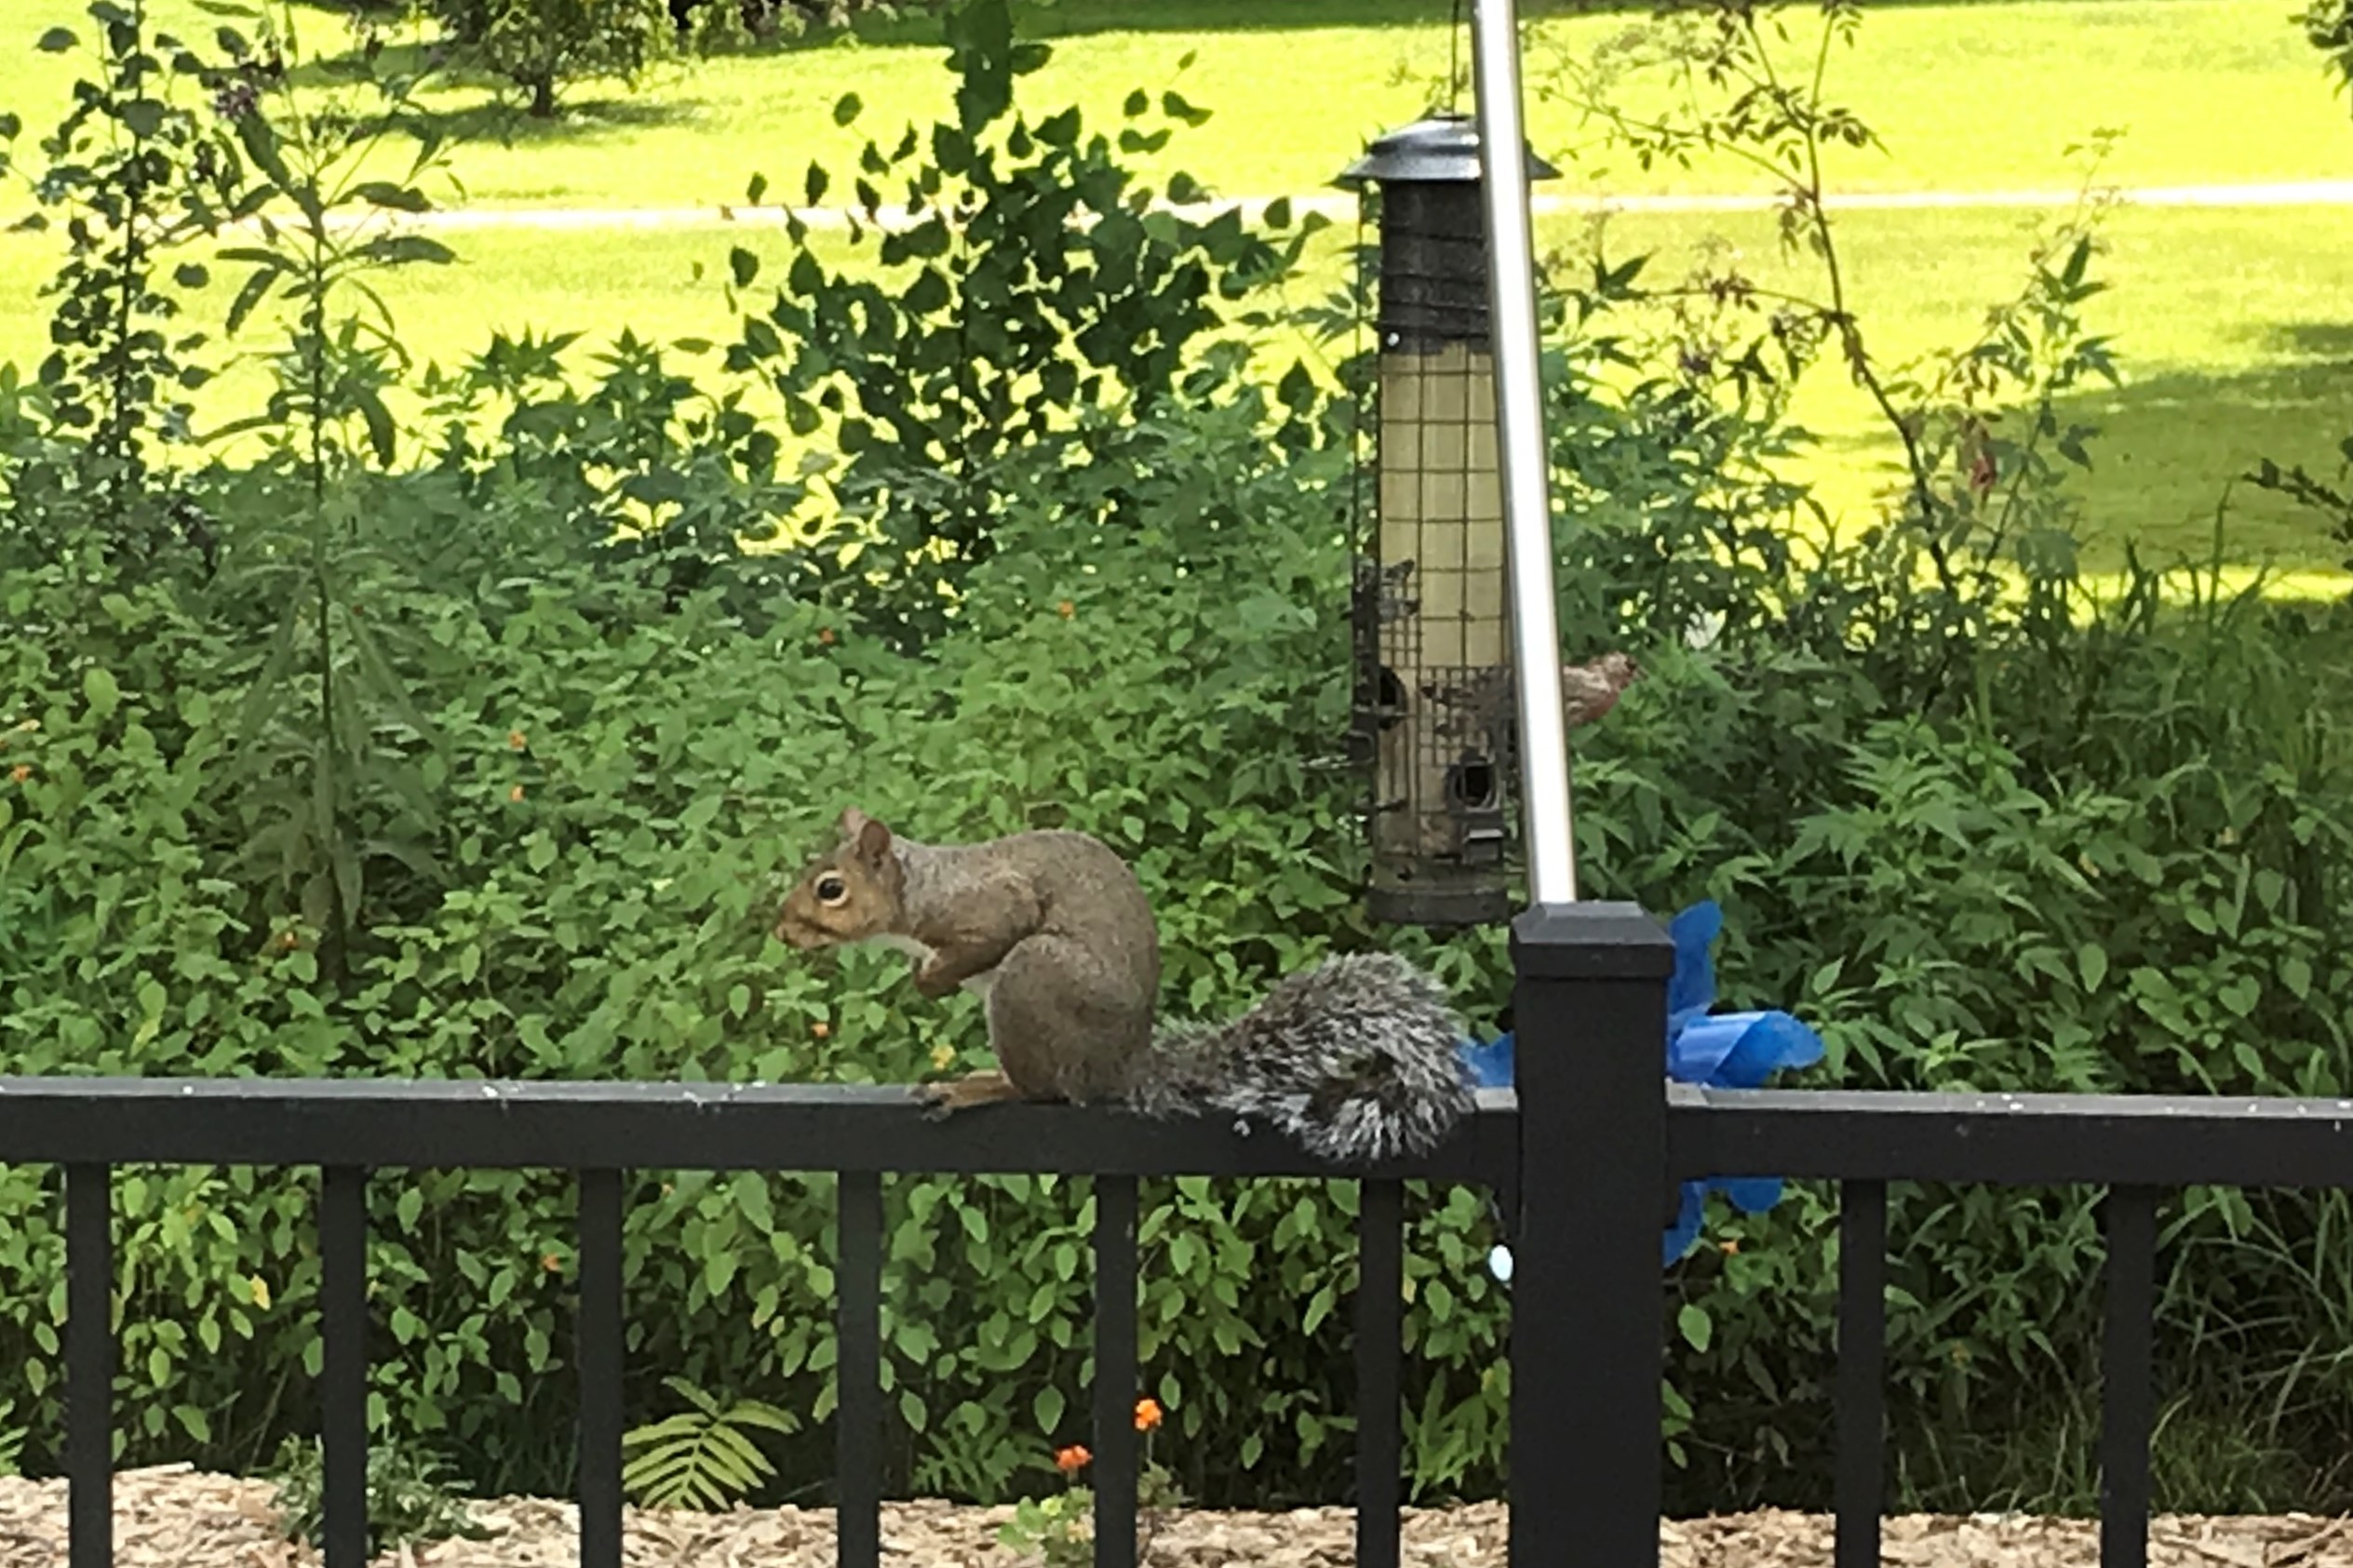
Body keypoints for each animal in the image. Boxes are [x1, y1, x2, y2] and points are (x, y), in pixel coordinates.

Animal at [772, 808, 1474, 1164]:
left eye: (830, 889)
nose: (781, 931)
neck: (920, 891)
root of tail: (1121, 1066)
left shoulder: (990, 907)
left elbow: (994, 930)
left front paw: (930, 981)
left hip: (1032, 978)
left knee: (1044, 1090)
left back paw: (979, 1085)